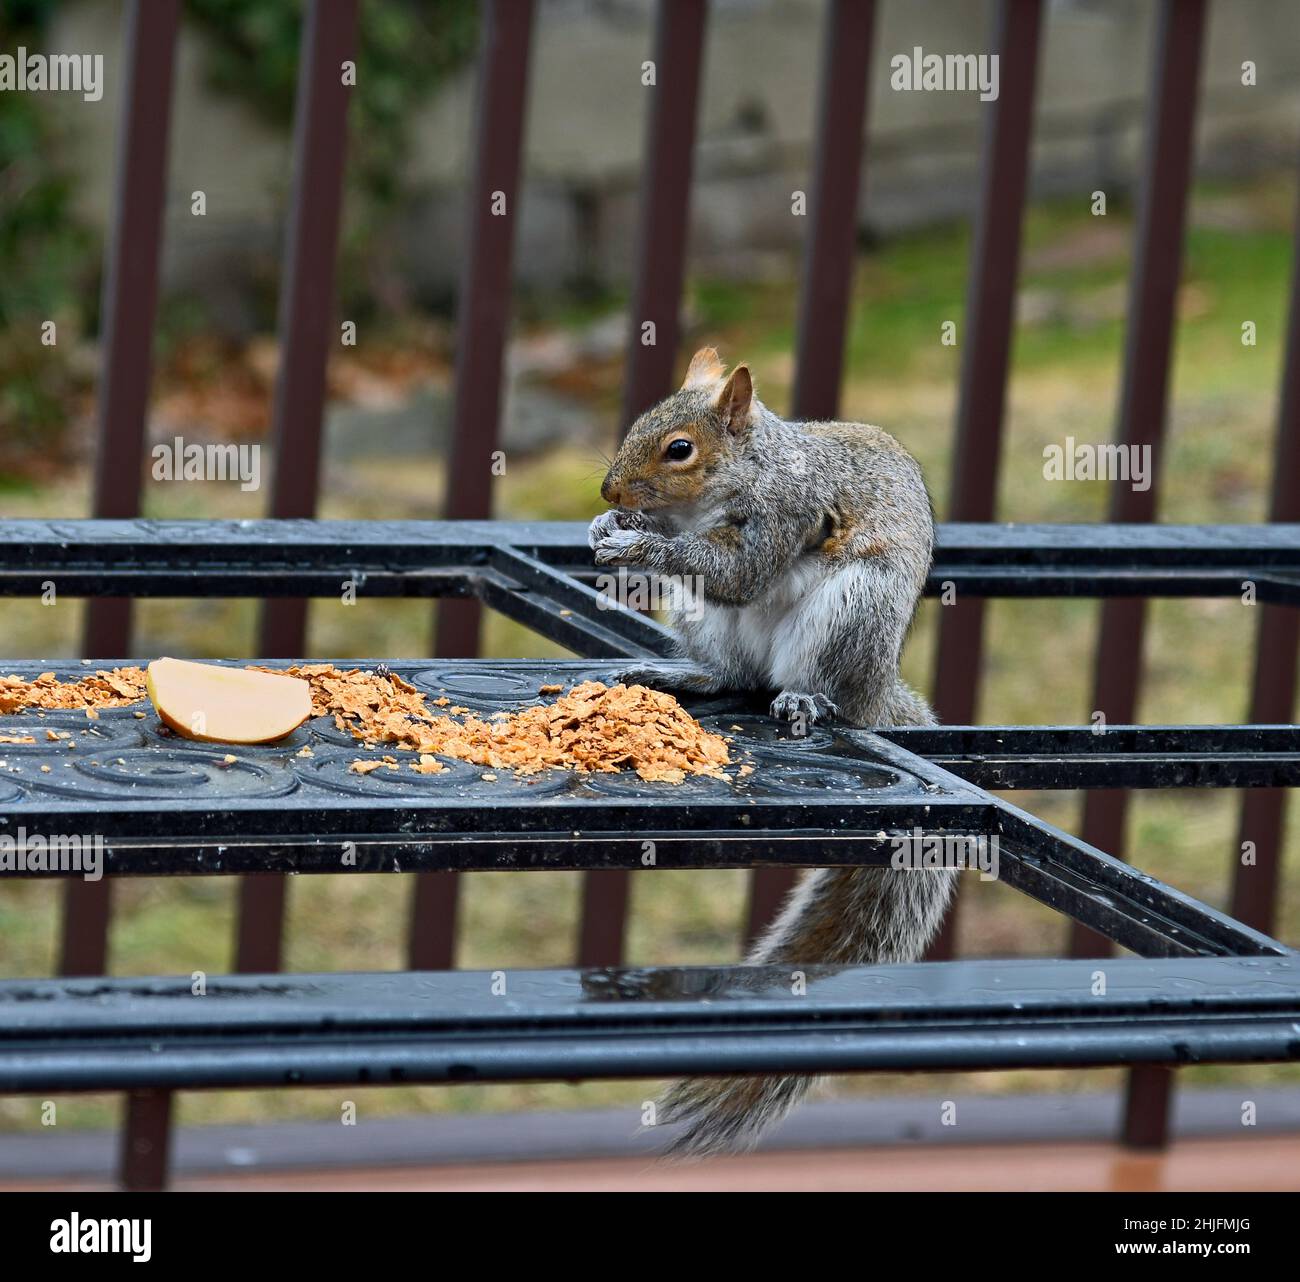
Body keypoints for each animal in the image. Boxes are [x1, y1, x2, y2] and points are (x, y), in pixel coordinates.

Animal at [588, 347, 957, 1157]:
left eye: (680, 450)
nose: (609, 490)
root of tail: (875, 691)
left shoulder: (786, 512)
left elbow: (739, 571)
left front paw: (639, 541)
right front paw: (609, 525)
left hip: (851, 611)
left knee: (801, 681)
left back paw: (804, 702)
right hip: (710, 626)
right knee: (736, 676)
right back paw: (686, 676)